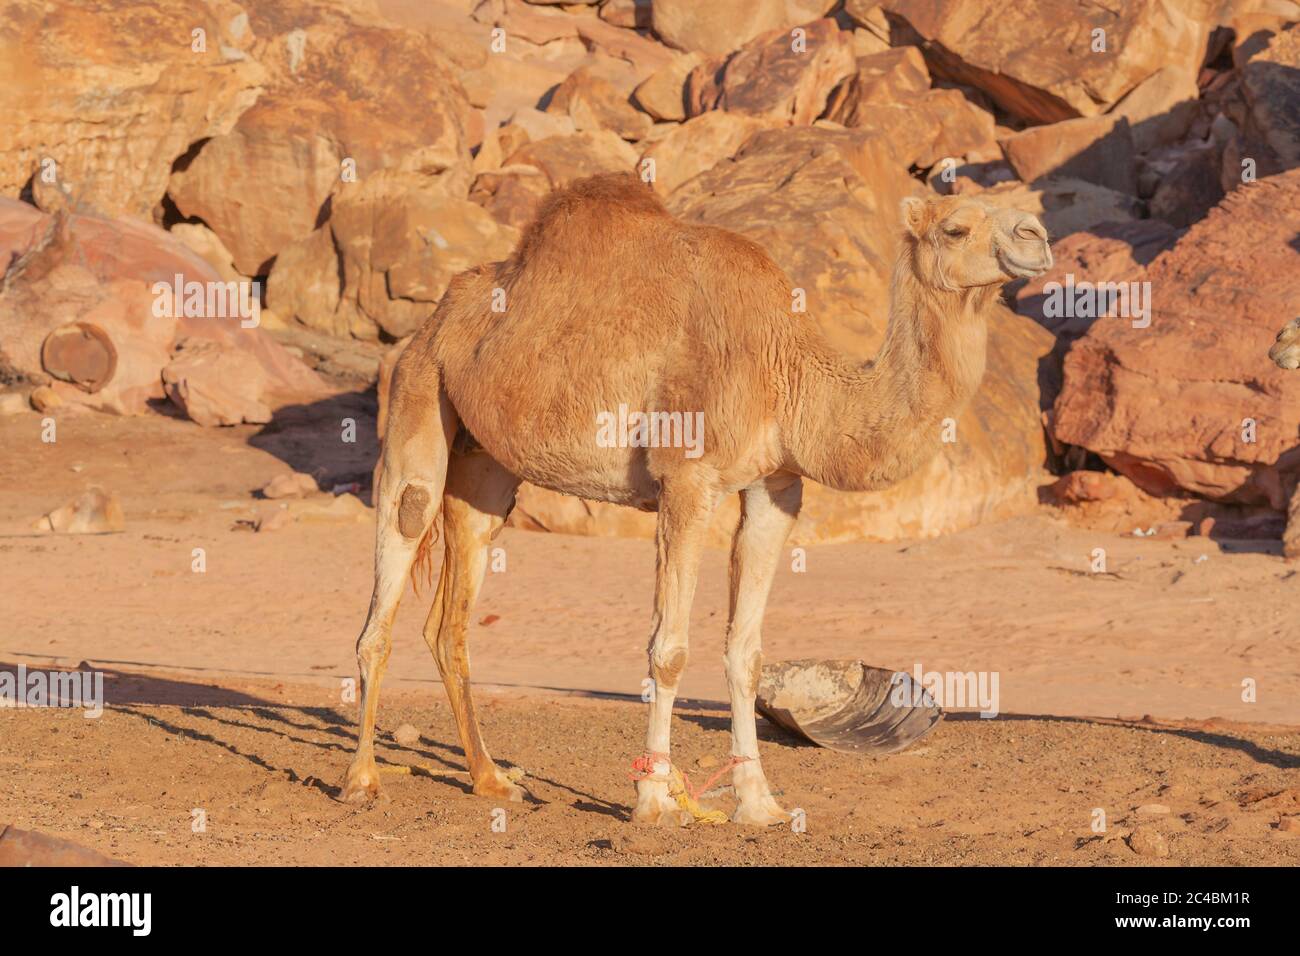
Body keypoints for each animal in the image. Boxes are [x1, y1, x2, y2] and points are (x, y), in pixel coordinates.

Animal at [341, 173, 1053, 825]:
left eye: (1019, 207)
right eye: (955, 227)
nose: (1036, 237)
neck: (789, 374)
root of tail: (435, 319)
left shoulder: (777, 488)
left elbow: (747, 653)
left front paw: (759, 803)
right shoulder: (686, 476)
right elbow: (670, 650)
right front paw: (654, 800)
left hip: (486, 466)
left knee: (450, 618)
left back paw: (491, 779)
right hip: (417, 394)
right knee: (394, 561)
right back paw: (362, 781)